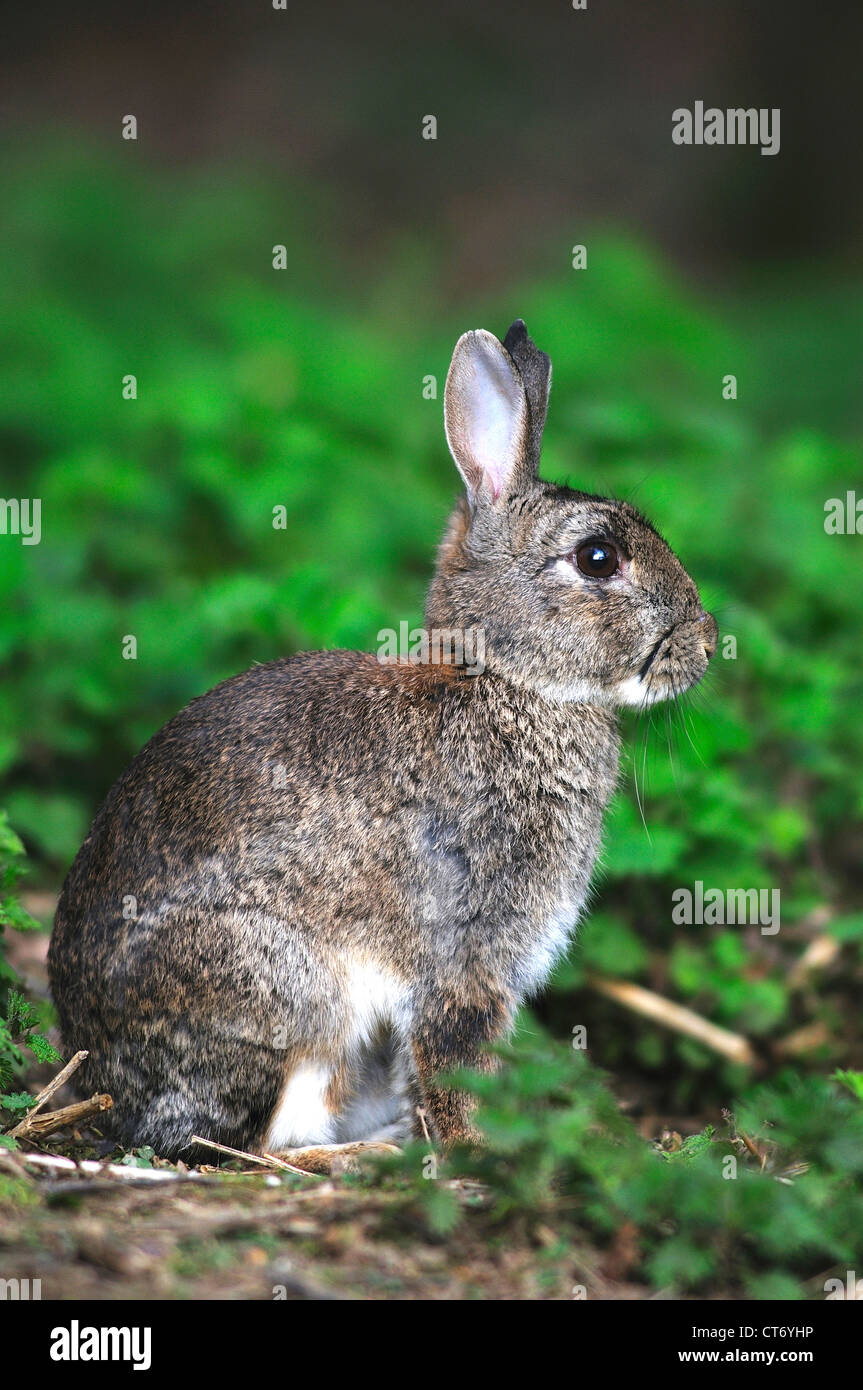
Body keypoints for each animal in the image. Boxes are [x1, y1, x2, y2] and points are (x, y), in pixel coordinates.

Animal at [48, 320, 718, 1167]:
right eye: (598, 557)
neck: (506, 683)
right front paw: (475, 1148)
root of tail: (99, 1071)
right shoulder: (463, 951)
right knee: (237, 1139)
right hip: (282, 994)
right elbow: (453, 1054)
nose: (707, 640)